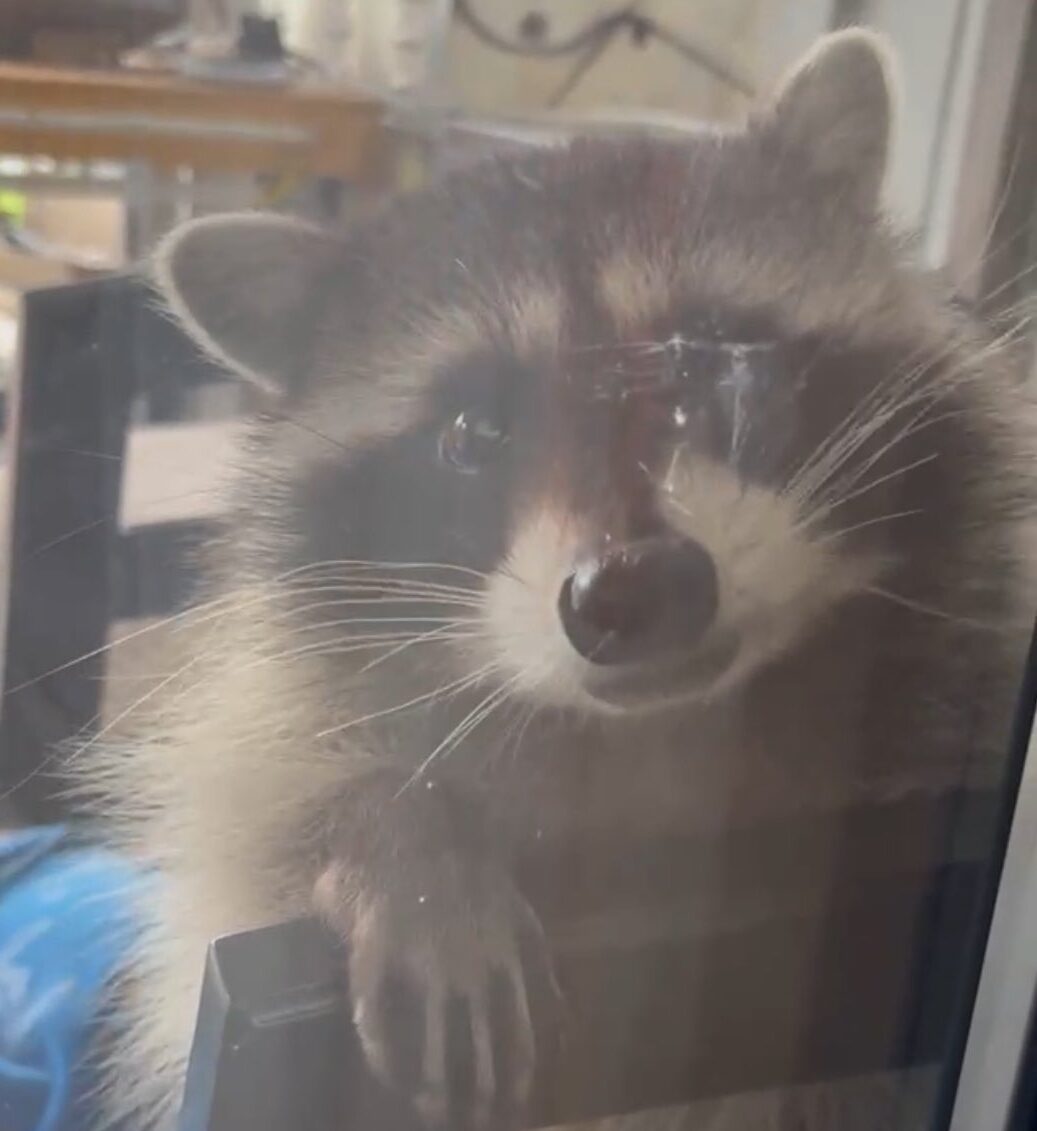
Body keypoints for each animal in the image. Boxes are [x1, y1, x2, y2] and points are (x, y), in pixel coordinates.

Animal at [88, 29, 1035, 1131]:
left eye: (714, 368)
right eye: (472, 434)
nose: (633, 588)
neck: (666, 735)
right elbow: (240, 847)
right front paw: (393, 828)